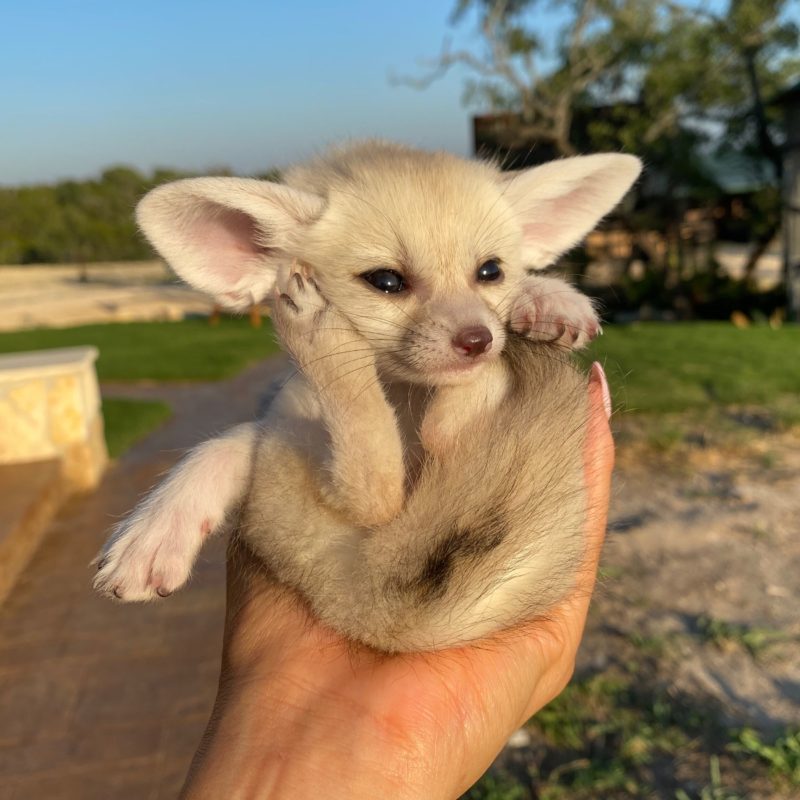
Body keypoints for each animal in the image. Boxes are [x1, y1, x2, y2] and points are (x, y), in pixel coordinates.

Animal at [93, 141, 640, 653]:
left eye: (490, 272)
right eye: (387, 281)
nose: (478, 339)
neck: (404, 392)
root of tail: (372, 602)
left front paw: (547, 297)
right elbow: (226, 444)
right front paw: (157, 529)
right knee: (373, 483)